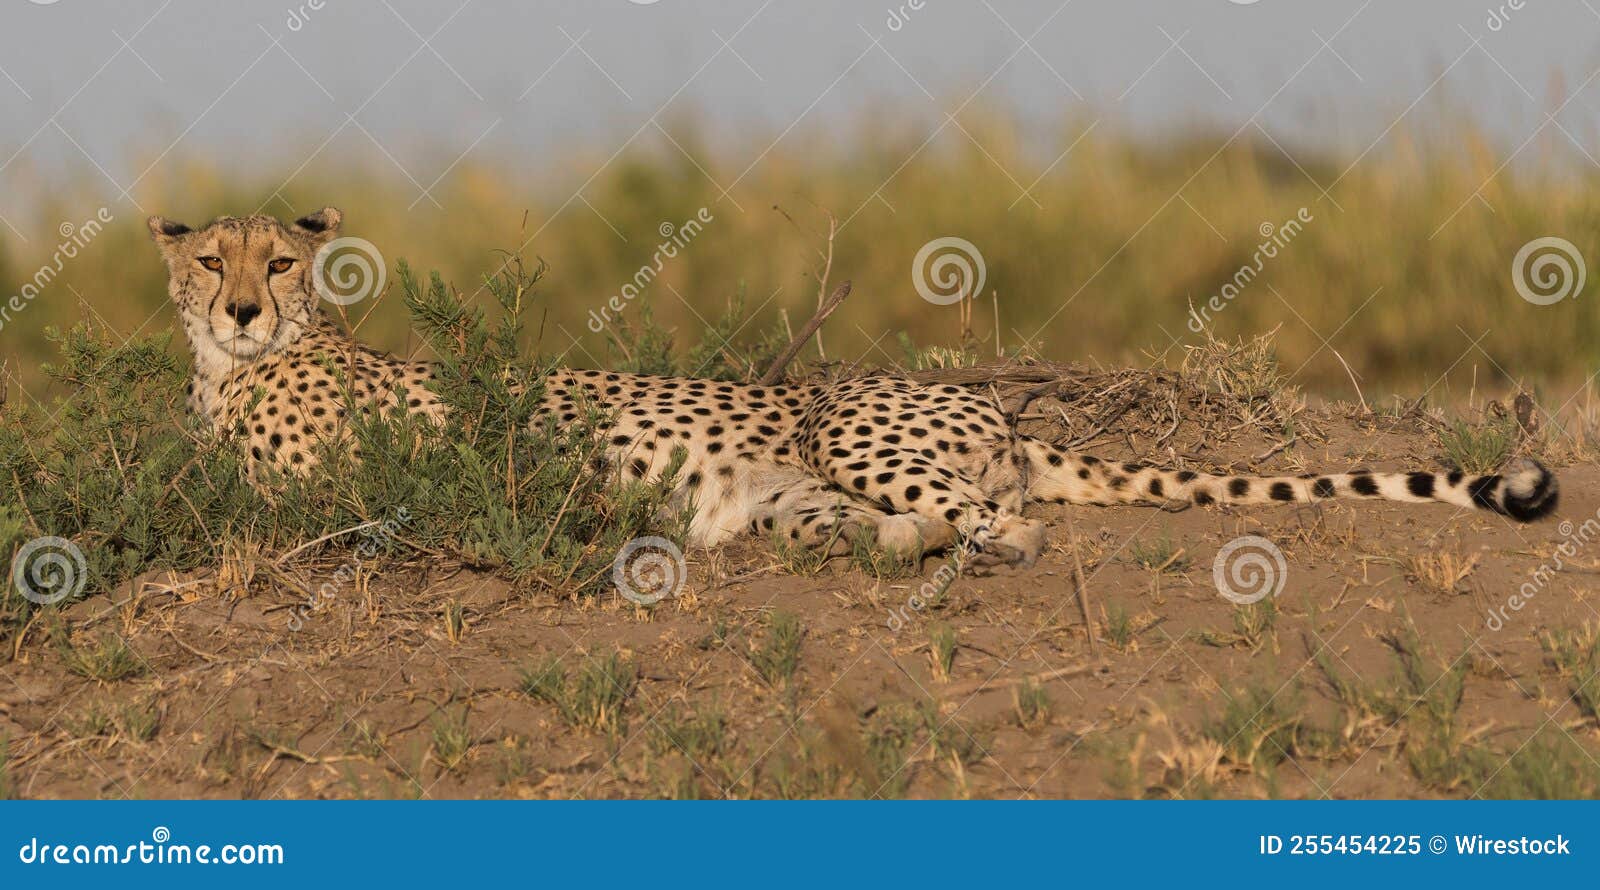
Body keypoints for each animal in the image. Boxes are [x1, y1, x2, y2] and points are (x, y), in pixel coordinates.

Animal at [147, 207, 1559, 568]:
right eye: (212, 258)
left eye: (280, 259)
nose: (242, 306)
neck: (232, 373)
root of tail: (1001, 409)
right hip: (772, 495)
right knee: (883, 524)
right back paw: (879, 550)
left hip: (849, 424)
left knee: (1011, 522)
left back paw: (971, 546)